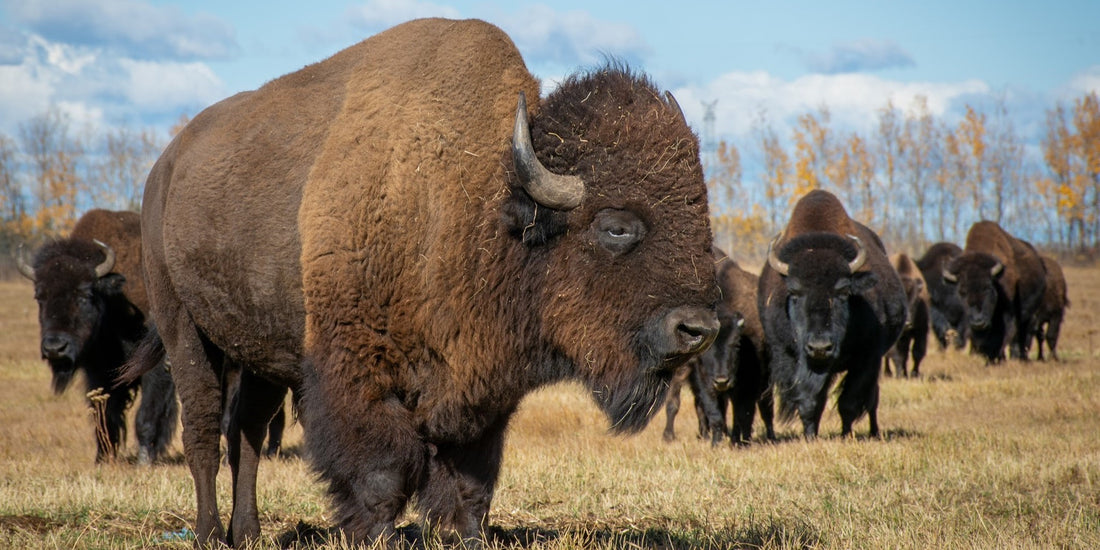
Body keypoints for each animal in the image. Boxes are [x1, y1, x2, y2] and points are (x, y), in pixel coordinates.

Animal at [18, 209, 177, 463]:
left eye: (85, 294)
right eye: (39, 296)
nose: (55, 348)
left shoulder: (156, 367)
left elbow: (147, 413)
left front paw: (144, 459)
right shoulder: (98, 371)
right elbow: (105, 414)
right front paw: (102, 458)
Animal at [131, 18, 719, 547]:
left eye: (703, 217)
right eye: (616, 226)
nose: (698, 329)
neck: (480, 204)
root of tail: (163, 170)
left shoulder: (482, 393)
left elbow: (470, 481)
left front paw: (463, 535)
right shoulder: (357, 373)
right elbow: (381, 475)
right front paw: (377, 536)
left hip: (260, 352)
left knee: (247, 434)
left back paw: (248, 534)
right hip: (185, 330)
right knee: (204, 430)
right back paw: (210, 534)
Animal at [663, 248, 774, 445]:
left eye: (736, 344)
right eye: (705, 350)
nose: (722, 380)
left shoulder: (748, 380)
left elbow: (744, 412)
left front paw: (740, 441)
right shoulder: (702, 378)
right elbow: (712, 411)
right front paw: (715, 441)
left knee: (765, 404)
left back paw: (769, 436)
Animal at [758, 190, 907, 439]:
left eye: (843, 291)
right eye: (794, 292)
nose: (820, 347)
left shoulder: (867, 357)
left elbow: (850, 401)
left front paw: (846, 435)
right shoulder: (790, 357)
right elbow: (809, 402)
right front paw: (810, 436)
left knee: (872, 399)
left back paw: (874, 432)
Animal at [944, 221, 1046, 363]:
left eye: (988, 288)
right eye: (962, 292)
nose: (978, 322)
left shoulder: (1007, 315)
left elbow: (1002, 336)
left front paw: (996, 359)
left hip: (1028, 315)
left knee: (1021, 335)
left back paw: (1019, 357)